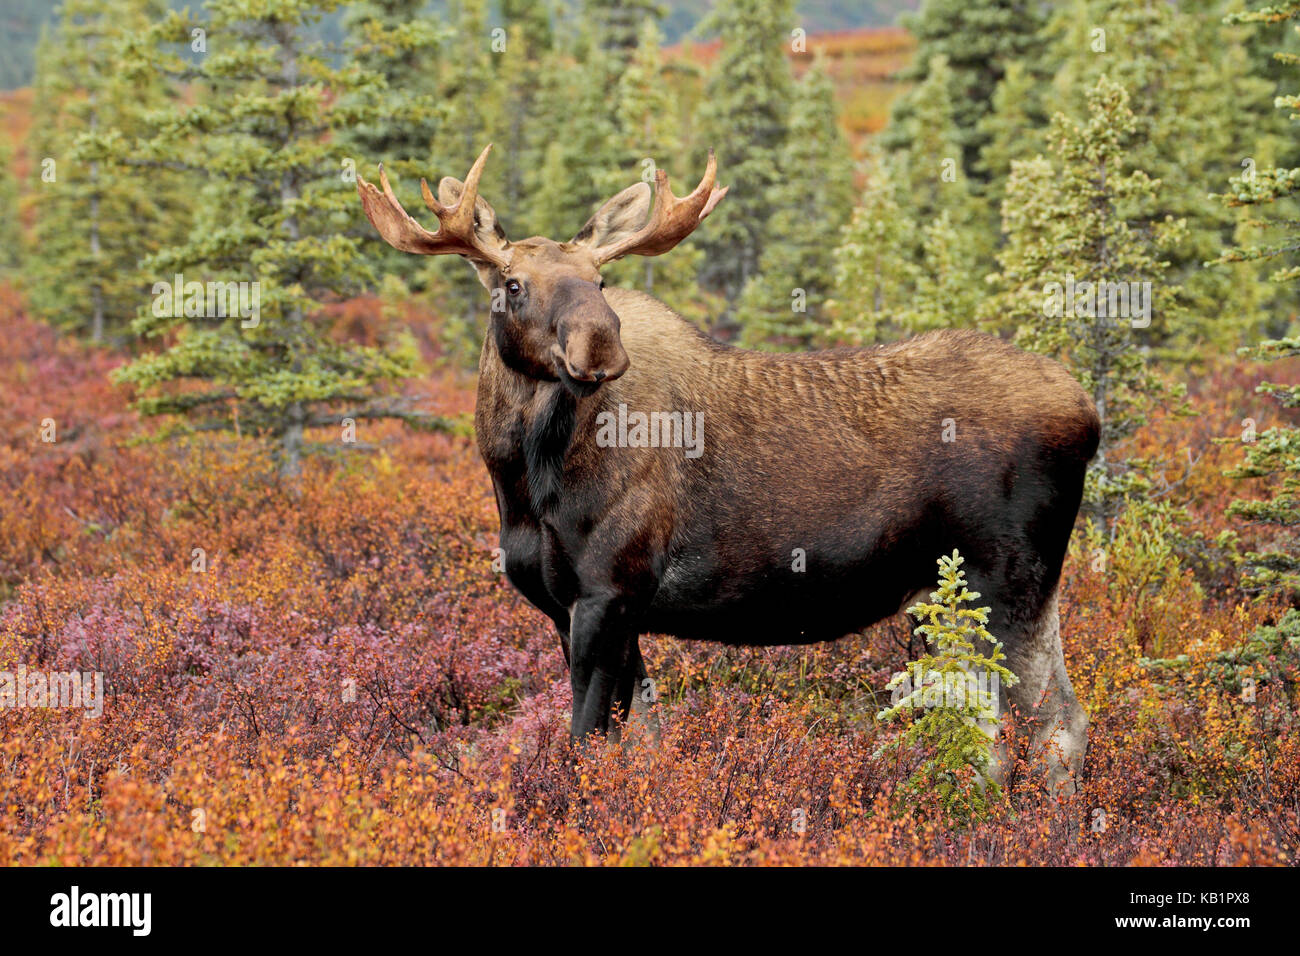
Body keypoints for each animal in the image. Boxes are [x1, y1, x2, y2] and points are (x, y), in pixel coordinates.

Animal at [357, 145, 1100, 791]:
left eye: (600, 281)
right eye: (512, 285)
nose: (600, 343)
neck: (520, 480)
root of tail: (1088, 412)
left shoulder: (606, 592)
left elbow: (586, 742)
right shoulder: (585, 608)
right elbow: (643, 738)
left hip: (1007, 582)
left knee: (1055, 724)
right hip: (954, 598)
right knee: (995, 728)